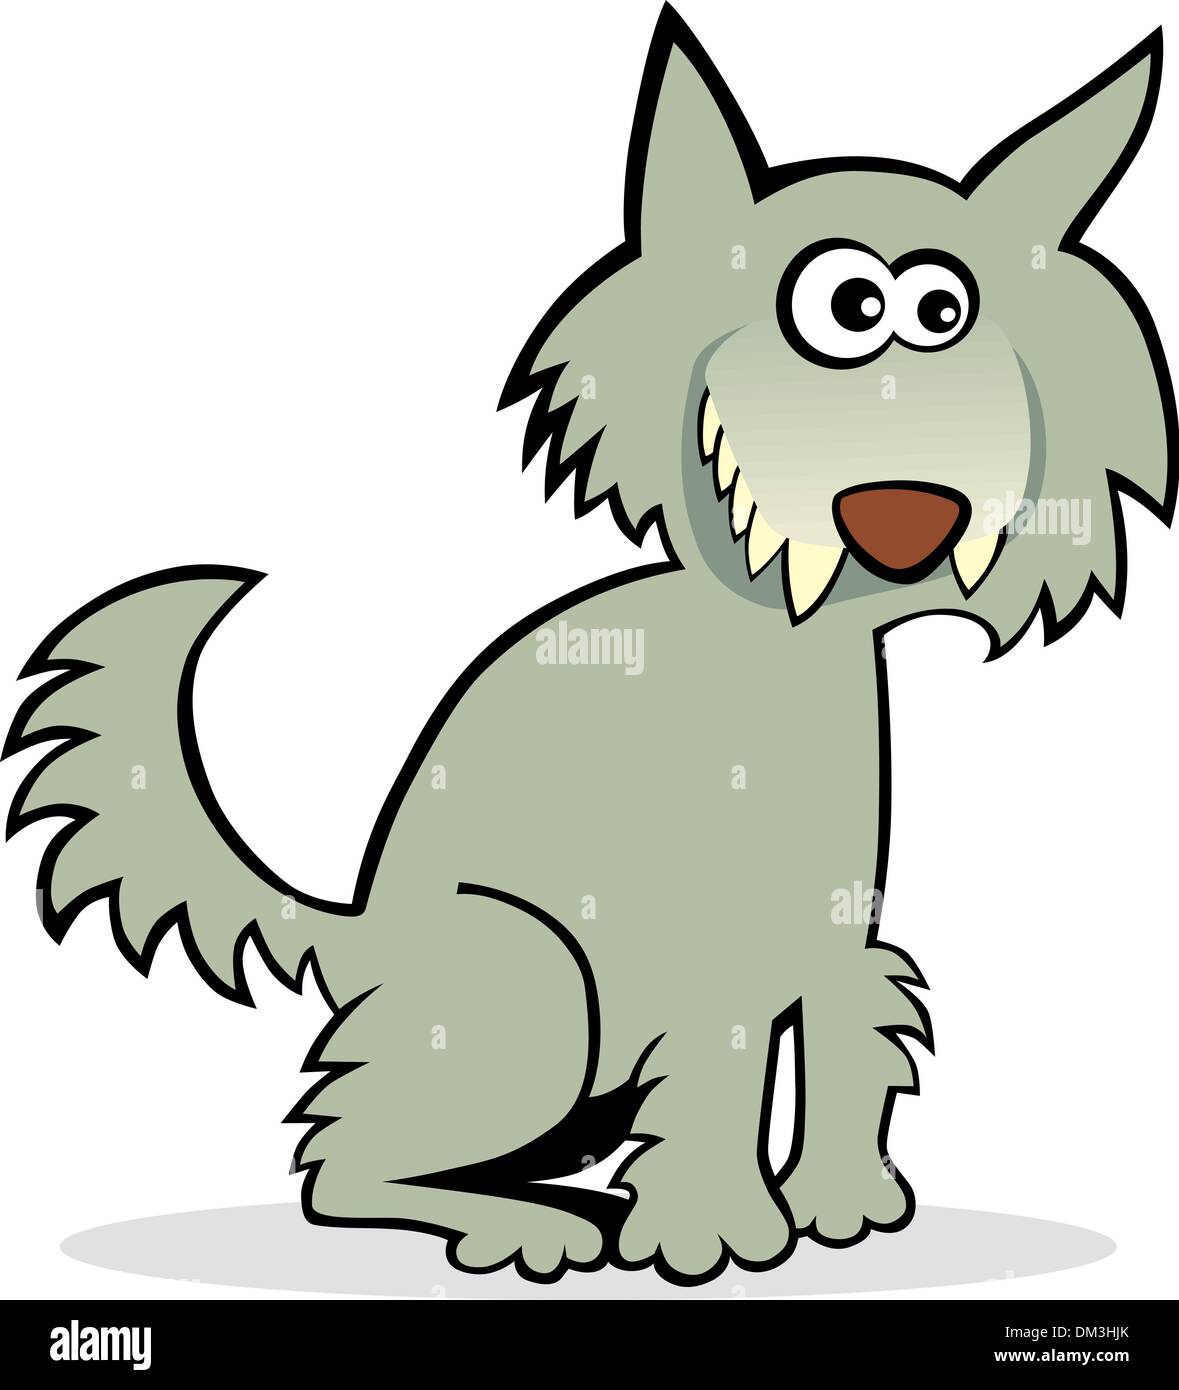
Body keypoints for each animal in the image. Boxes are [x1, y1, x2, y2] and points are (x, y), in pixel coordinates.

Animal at [6, 8, 1174, 1285]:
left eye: (943, 312)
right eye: (850, 309)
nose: (920, 432)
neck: (788, 632)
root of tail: (358, 938)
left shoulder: (830, 934)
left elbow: (848, 1039)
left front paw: (845, 1206)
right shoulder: (708, 958)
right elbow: (718, 1079)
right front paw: (714, 1235)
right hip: (537, 979)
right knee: (343, 1166)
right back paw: (522, 1222)